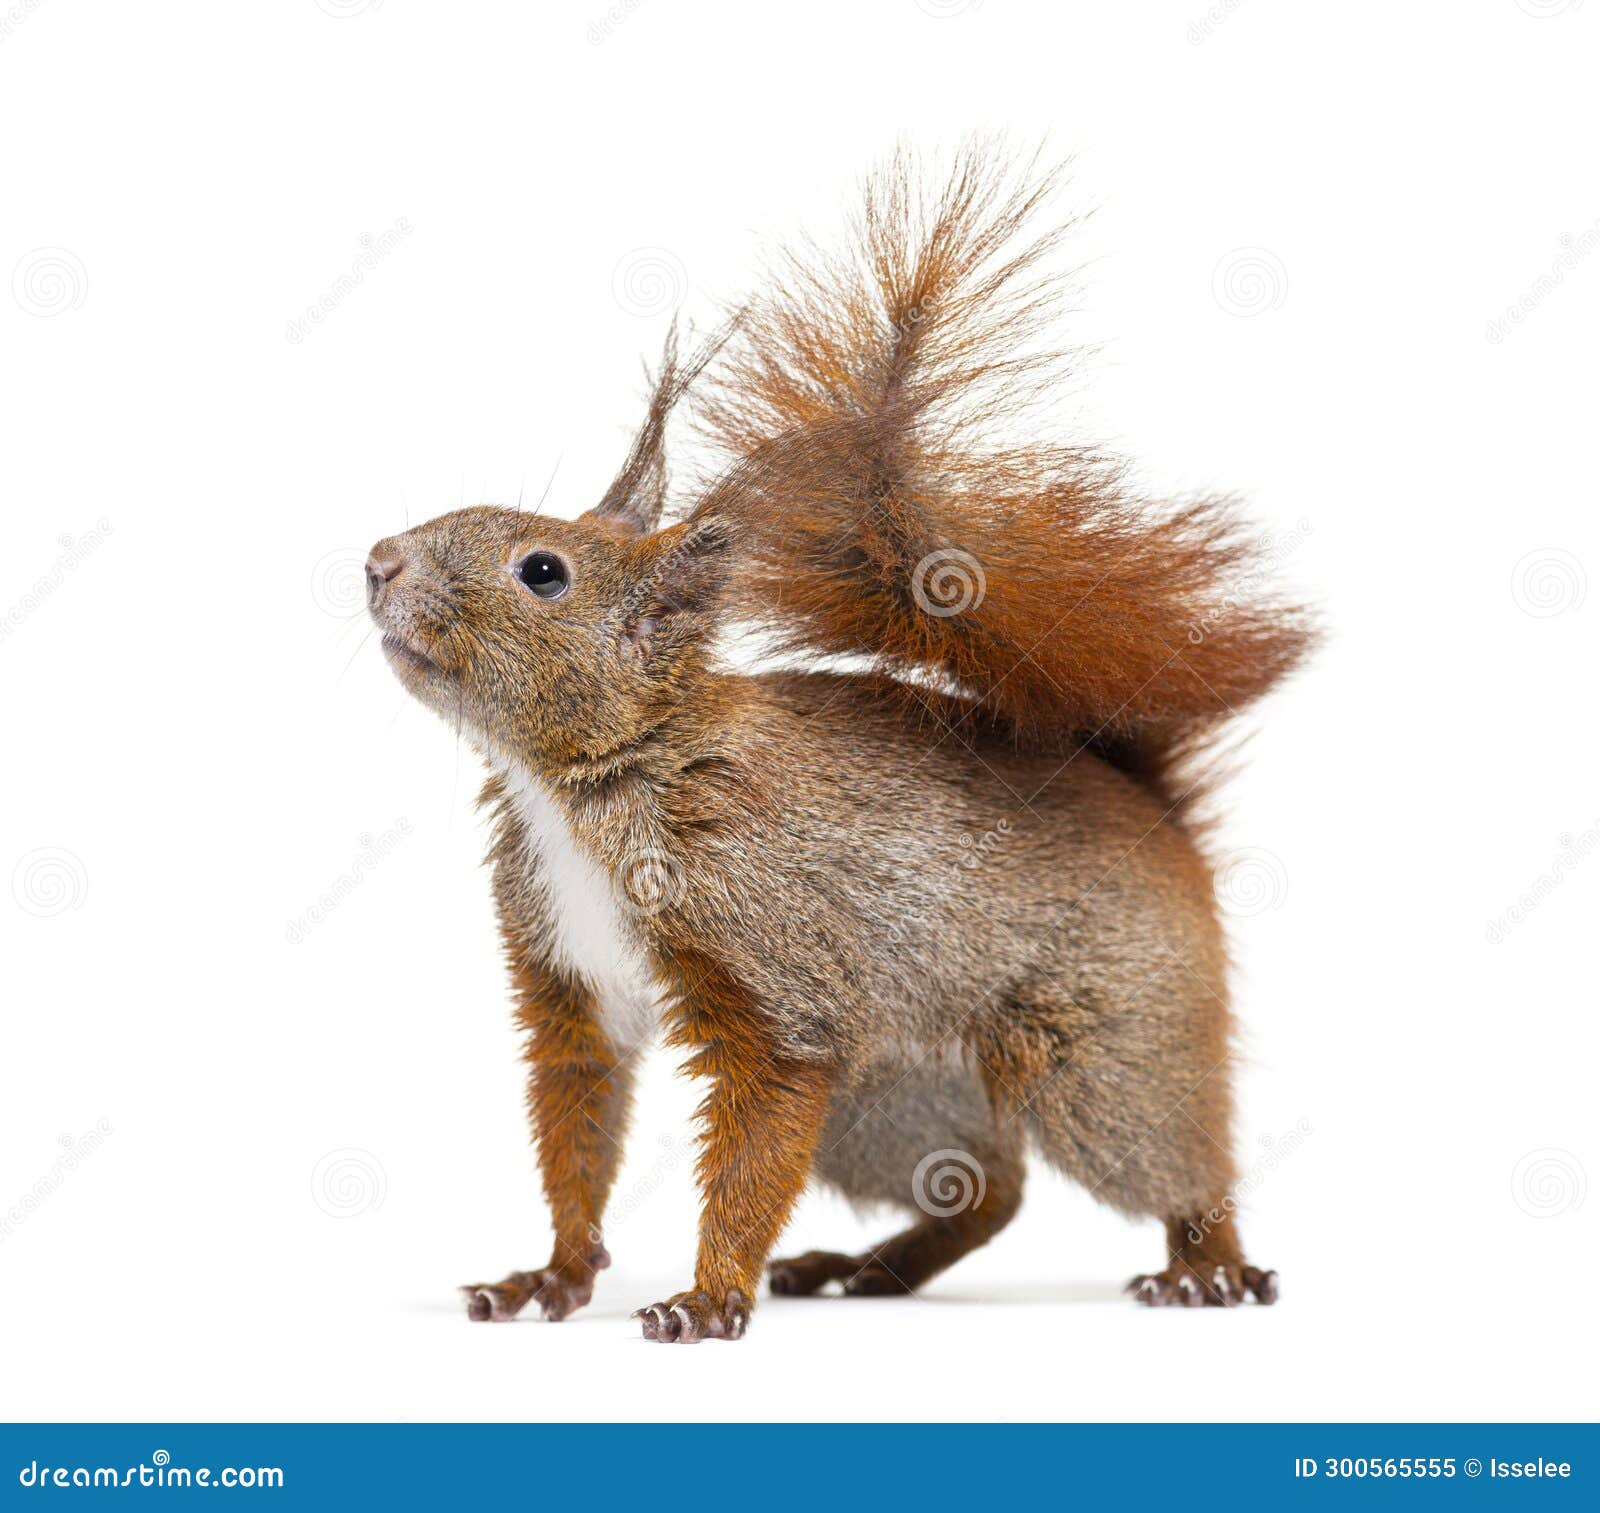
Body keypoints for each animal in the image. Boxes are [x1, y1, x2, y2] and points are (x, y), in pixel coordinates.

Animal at [363, 148, 1315, 1342]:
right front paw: (551, 1275)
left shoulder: (772, 966)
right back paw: (870, 1264)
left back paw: (1208, 1263)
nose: (378, 561)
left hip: (1099, 1047)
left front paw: (706, 1297)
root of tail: (1150, 804)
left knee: (1169, 1157)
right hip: (889, 1096)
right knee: (989, 1184)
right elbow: (578, 1120)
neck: (583, 785)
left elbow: (756, 1130)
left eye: (543, 572)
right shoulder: (566, 977)